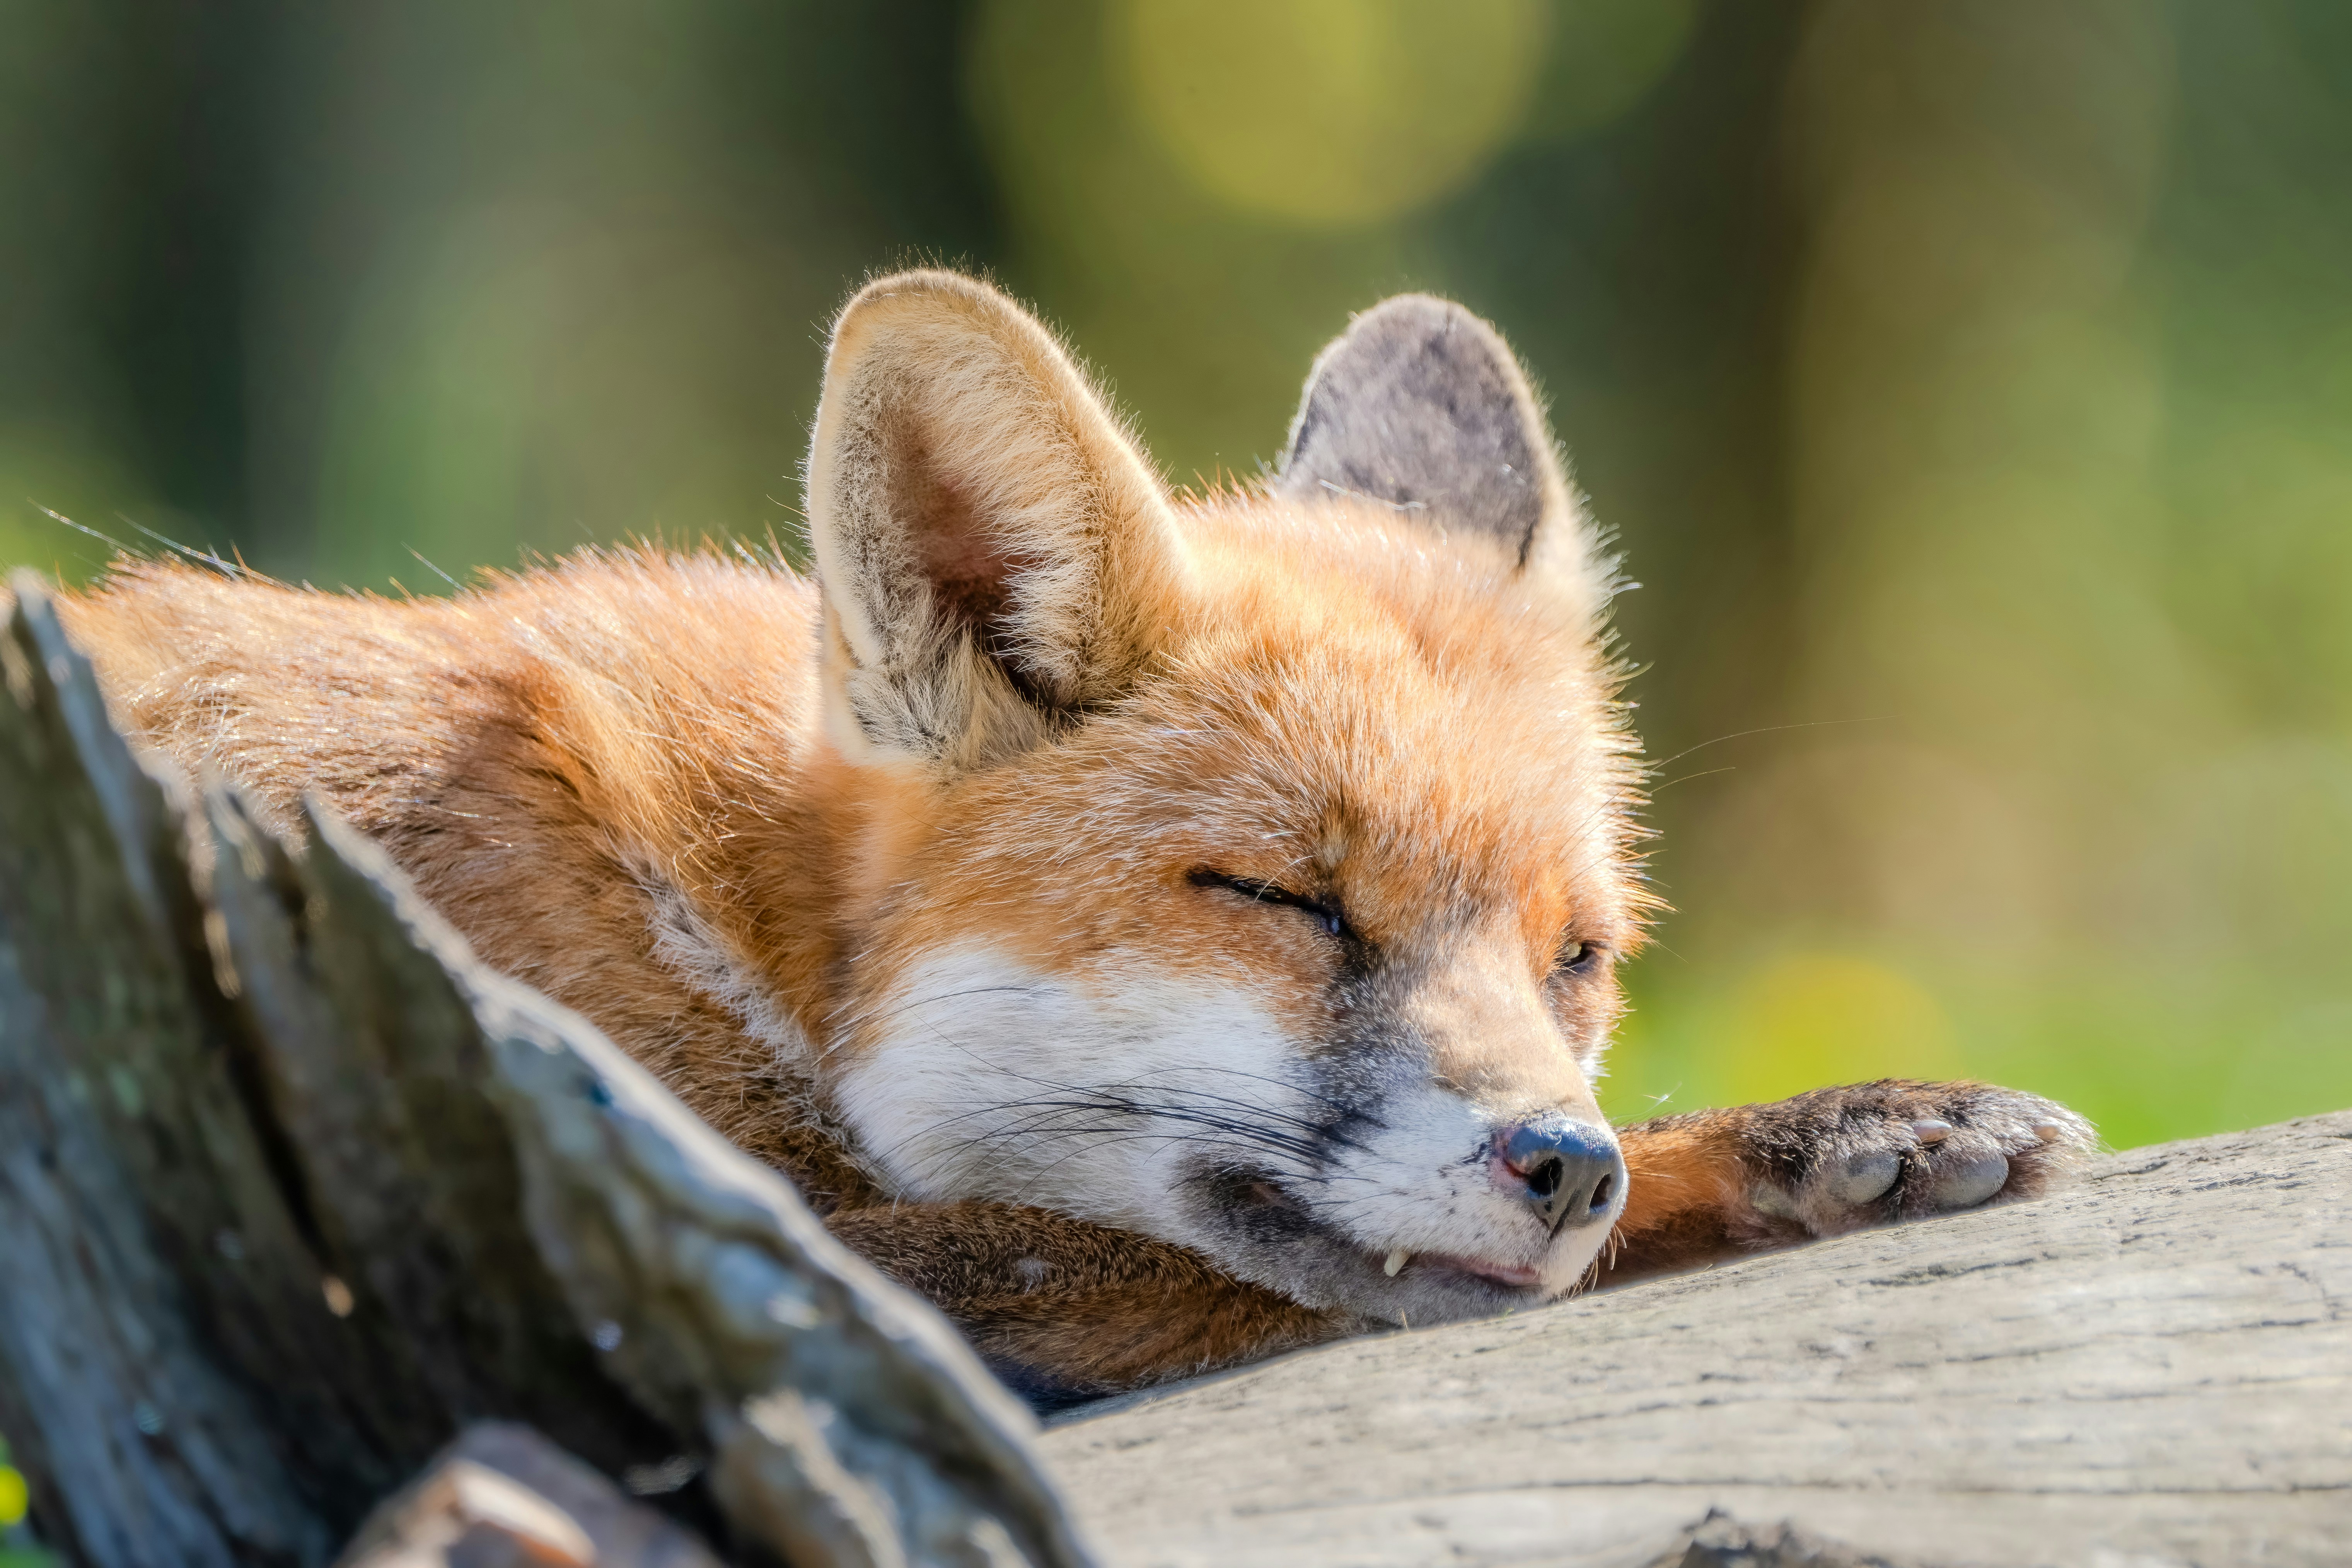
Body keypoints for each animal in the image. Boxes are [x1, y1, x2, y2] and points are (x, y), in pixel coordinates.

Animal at [36, 270, 2092, 1405]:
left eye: (1574, 957)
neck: (708, 907)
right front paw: (1789, 1143)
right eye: (1282, 897)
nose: (1561, 1163)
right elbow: (1145, 1260)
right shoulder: (614, 1235)